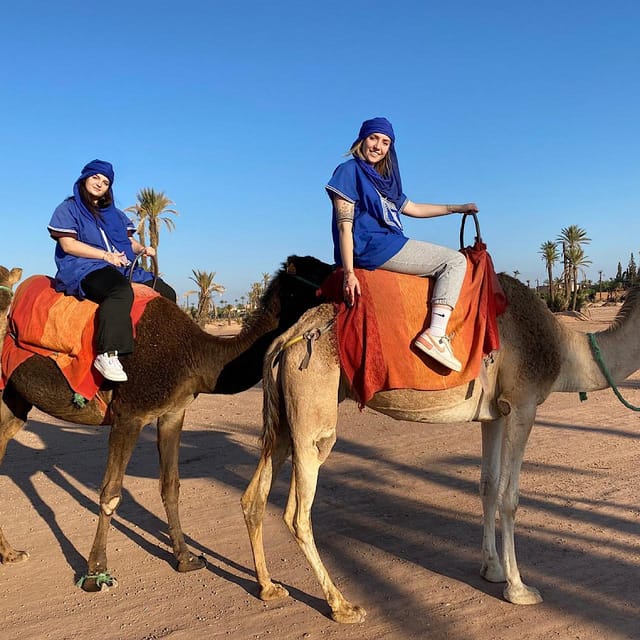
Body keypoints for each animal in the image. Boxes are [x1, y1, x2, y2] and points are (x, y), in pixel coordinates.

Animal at [0, 255, 333, 591]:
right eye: (317, 268)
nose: (342, 274)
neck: (195, 355)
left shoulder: (173, 412)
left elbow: (171, 485)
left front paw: (186, 559)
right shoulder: (129, 415)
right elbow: (111, 492)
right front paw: (95, 574)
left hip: (13, 401)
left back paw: (10, 553)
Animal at [241, 273, 640, 623]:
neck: (563, 348)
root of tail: (287, 337)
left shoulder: (495, 414)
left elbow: (488, 486)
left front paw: (492, 569)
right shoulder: (523, 404)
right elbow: (510, 497)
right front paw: (519, 589)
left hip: (286, 415)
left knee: (254, 495)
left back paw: (268, 587)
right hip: (313, 406)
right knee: (298, 512)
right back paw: (343, 607)